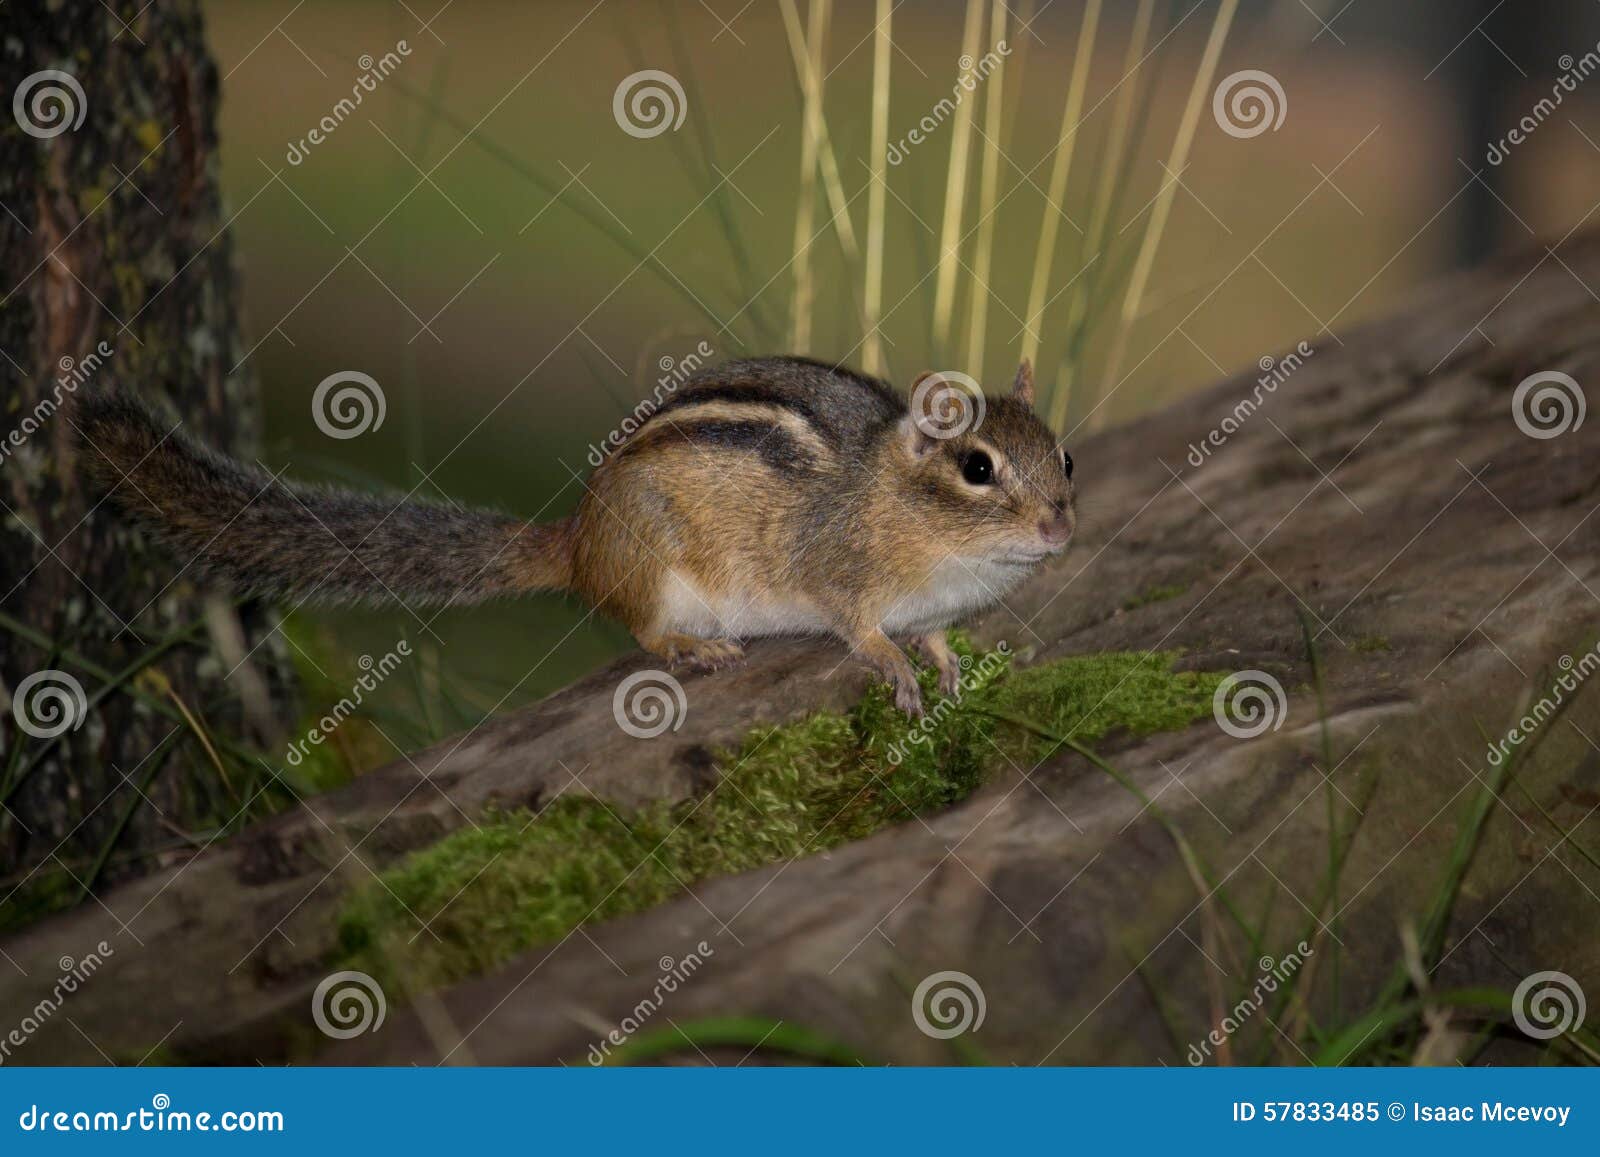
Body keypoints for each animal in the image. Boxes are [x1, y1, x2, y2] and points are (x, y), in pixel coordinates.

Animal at [75, 356, 1075, 717]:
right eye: (978, 467)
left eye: (1063, 454)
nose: (1060, 528)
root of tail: (581, 540)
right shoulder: (840, 574)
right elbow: (861, 629)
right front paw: (898, 667)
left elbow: (936, 633)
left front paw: (945, 660)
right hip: (657, 568)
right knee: (637, 626)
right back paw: (690, 647)